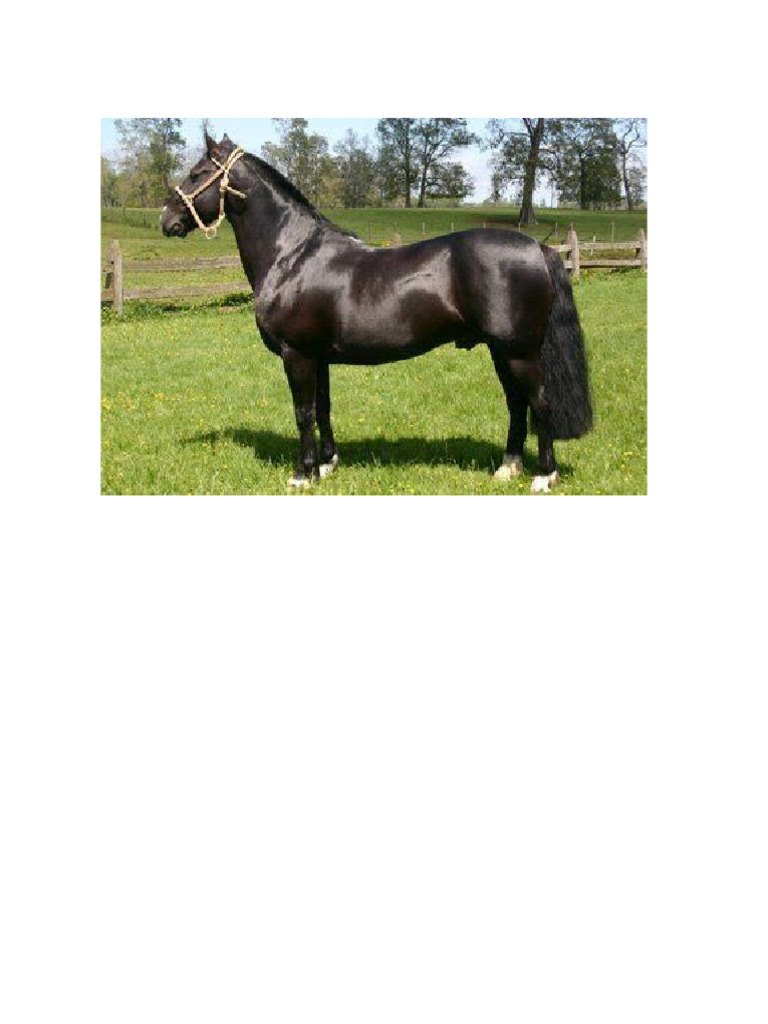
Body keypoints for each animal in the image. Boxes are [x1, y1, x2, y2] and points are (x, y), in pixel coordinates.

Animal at [161, 132, 592, 493]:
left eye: (197, 173)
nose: (167, 219)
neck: (293, 255)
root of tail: (538, 247)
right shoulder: (318, 357)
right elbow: (322, 408)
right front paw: (327, 464)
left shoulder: (296, 355)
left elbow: (303, 412)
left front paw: (303, 474)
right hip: (501, 351)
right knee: (516, 404)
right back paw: (507, 467)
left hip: (519, 352)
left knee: (540, 404)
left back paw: (544, 476)